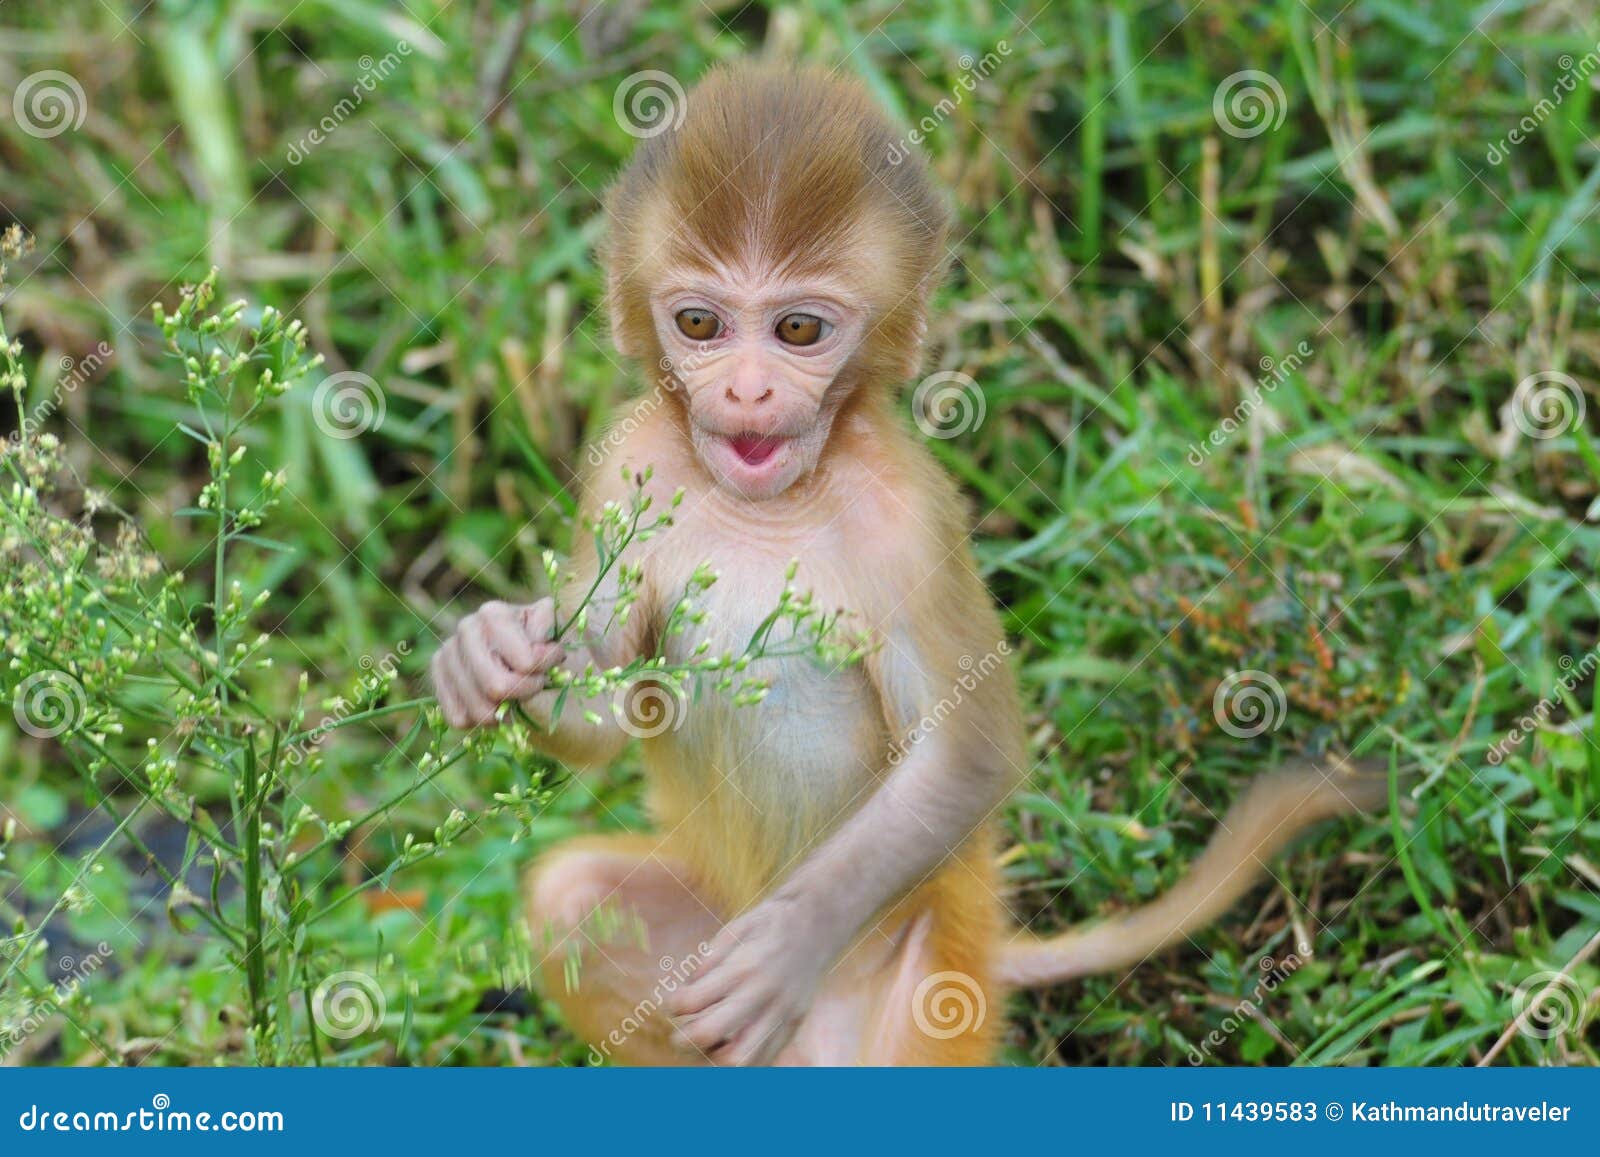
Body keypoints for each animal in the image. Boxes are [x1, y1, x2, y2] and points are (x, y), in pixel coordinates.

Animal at [430, 62, 1391, 1066]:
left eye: (798, 332)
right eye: (699, 322)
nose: (746, 391)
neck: (770, 505)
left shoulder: (913, 522)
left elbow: (968, 758)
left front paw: (793, 940)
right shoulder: (625, 463)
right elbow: (601, 715)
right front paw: (487, 659)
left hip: (934, 976)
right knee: (569, 900)